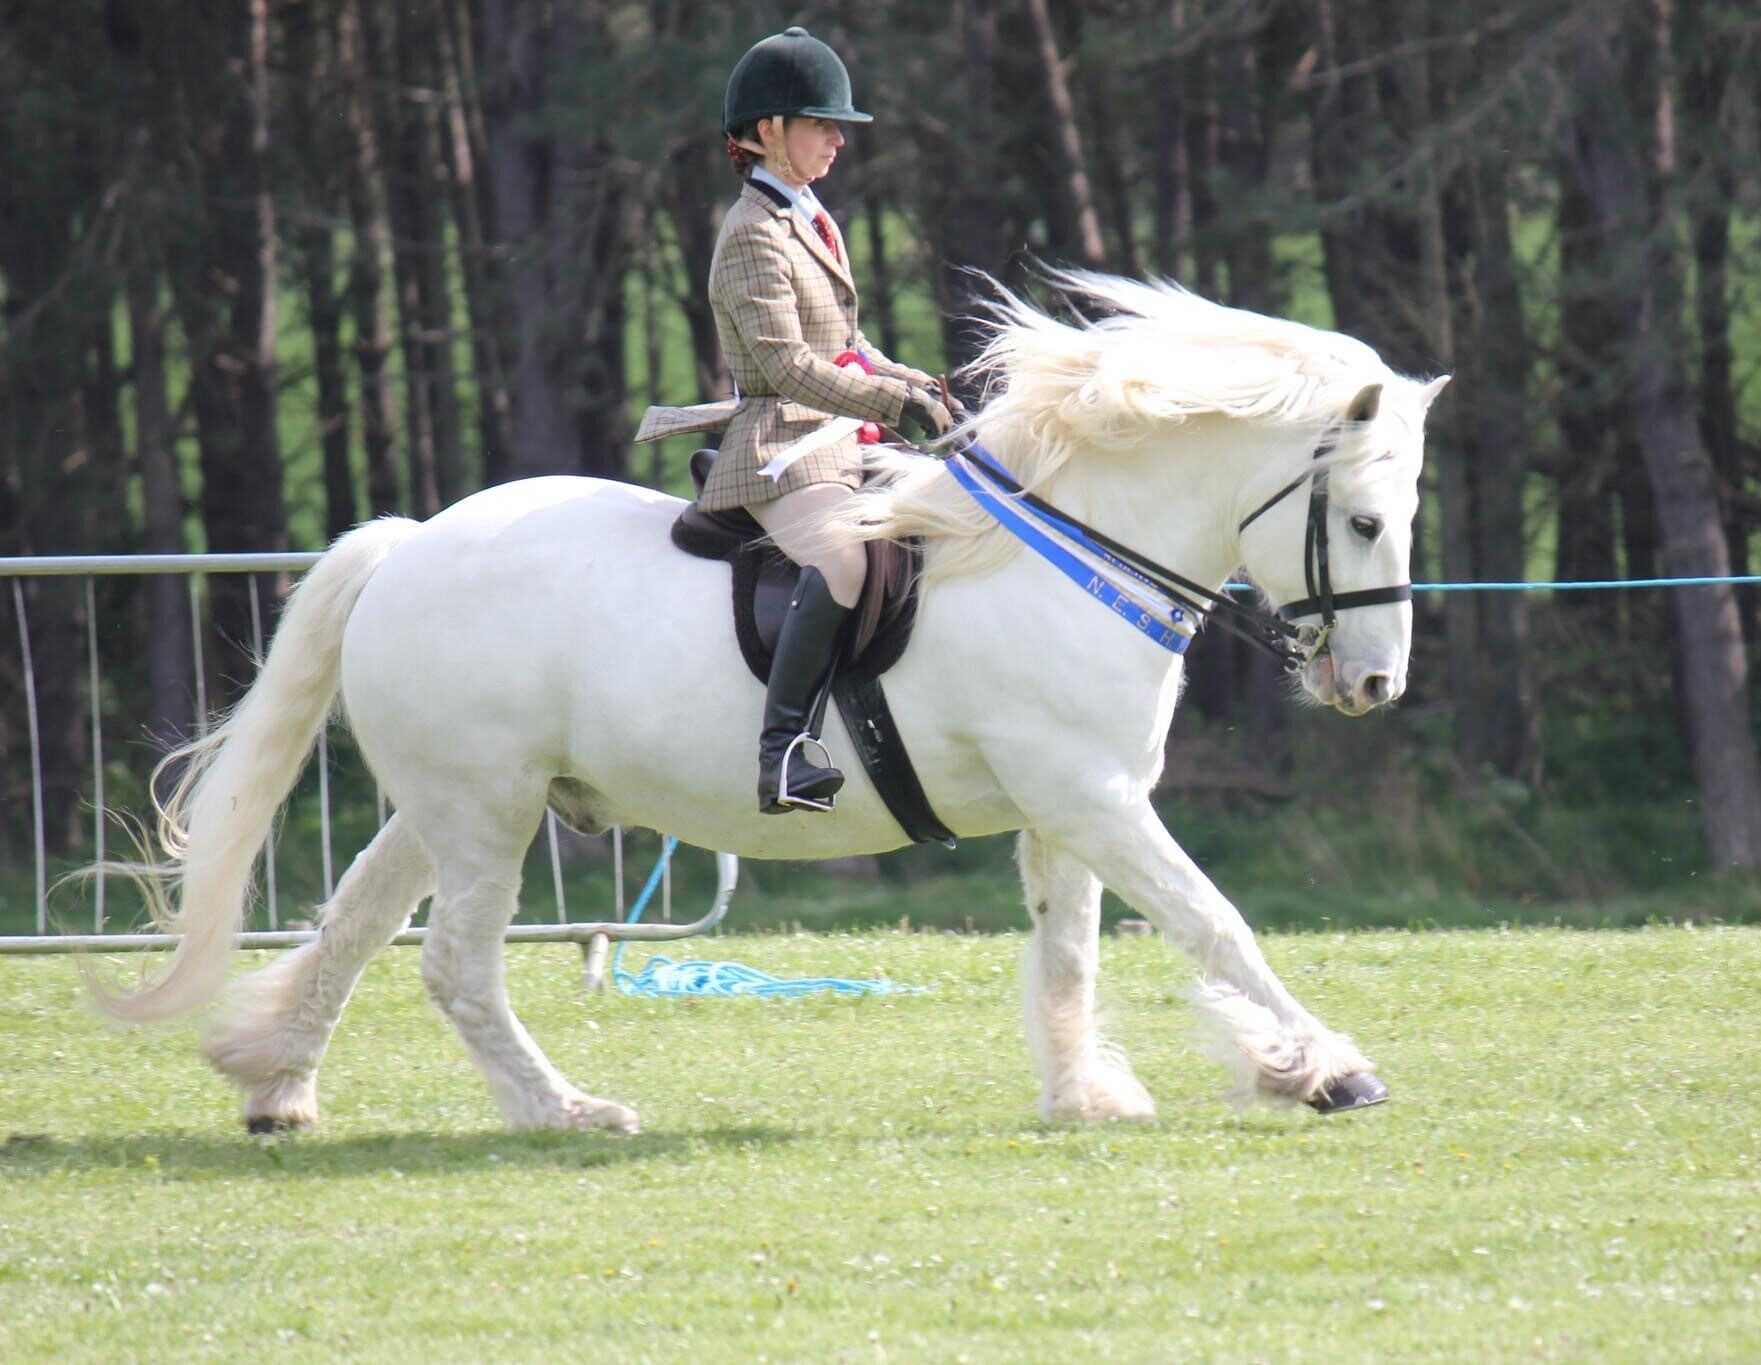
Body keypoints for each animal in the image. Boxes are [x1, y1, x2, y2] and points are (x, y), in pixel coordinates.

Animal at [95, 270, 1448, 1135]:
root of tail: (407, 544)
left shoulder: (1068, 811)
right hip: (486, 811)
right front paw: (1325, 1071)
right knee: (456, 966)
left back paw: (275, 1083)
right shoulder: (1096, 799)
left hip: (451, 804)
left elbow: (1069, 954)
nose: (1375, 686)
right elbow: (1218, 925)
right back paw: (562, 1111)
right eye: (1364, 522)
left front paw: (1087, 1097)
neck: (1072, 552)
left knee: (357, 923)